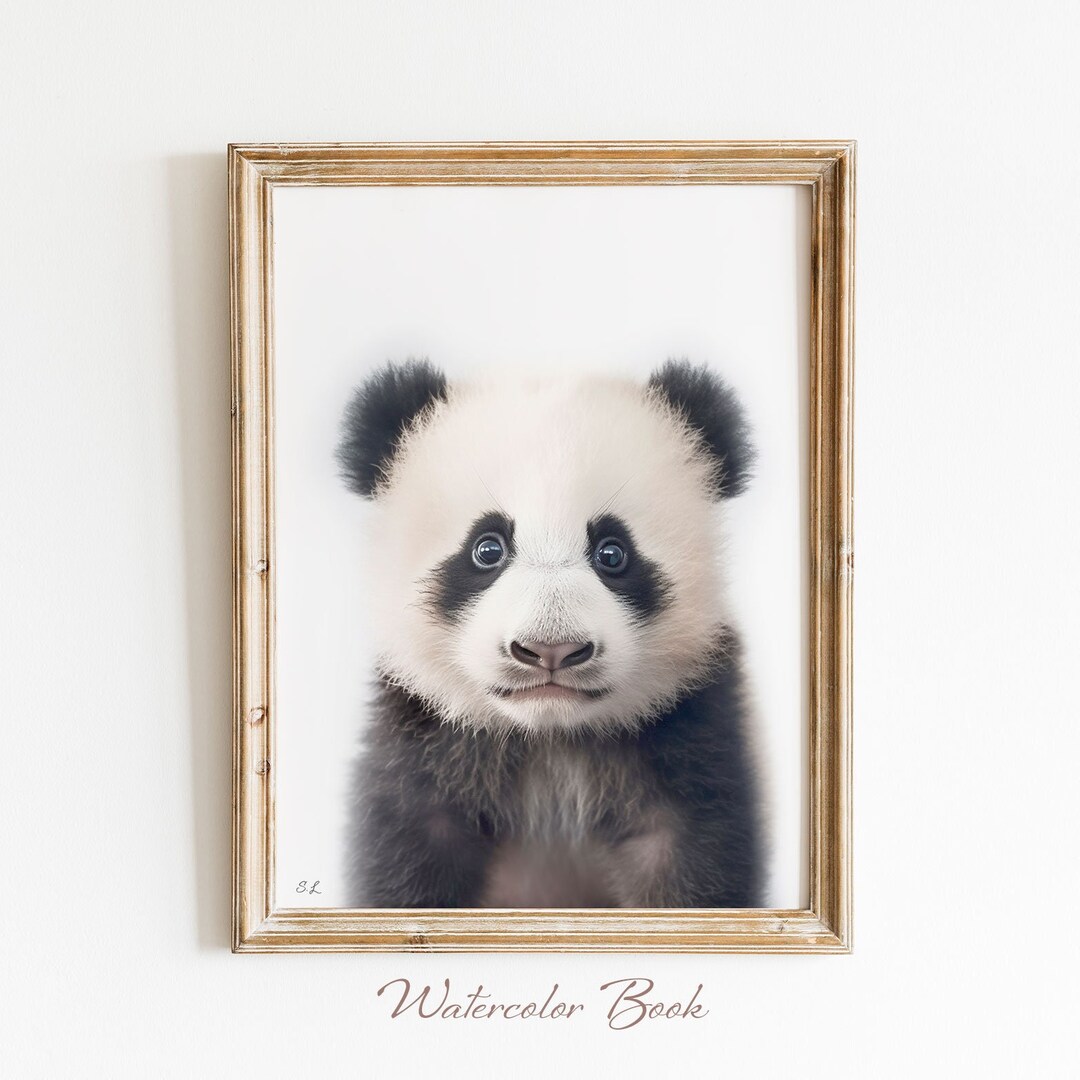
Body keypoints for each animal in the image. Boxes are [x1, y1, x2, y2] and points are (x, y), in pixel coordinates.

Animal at [337, 358, 763, 908]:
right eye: (487, 549)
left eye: (612, 553)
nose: (550, 650)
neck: (550, 739)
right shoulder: (424, 738)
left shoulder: (690, 731)